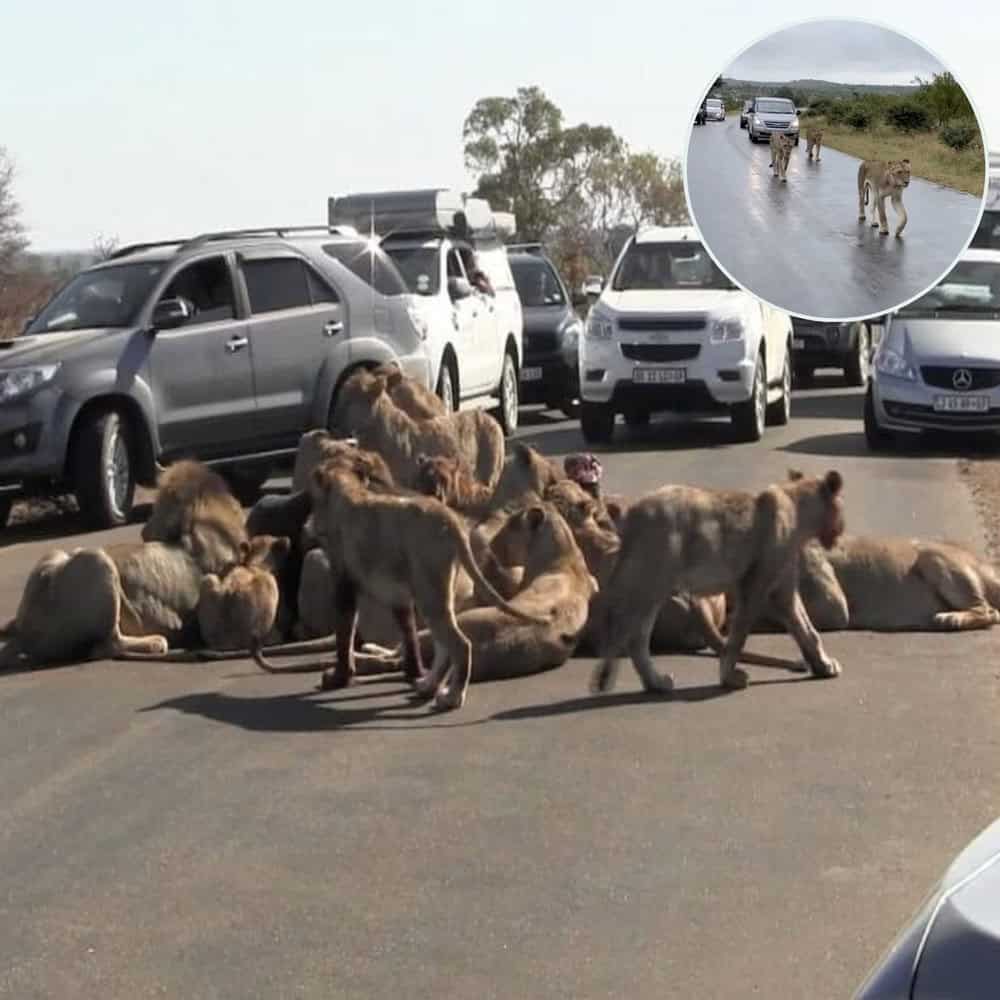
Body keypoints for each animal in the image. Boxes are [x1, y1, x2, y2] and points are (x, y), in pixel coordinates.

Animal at [591, 469, 846, 696]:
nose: (840, 533)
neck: (798, 508)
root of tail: (631, 515)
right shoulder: (754, 585)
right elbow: (739, 635)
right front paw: (729, 678)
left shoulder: (783, 589)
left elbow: (806, 629)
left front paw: (823, 666)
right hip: (650, 583)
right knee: (631, 635)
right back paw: (612, 681)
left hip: (652, 588)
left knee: (637, 637)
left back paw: (656, 683)